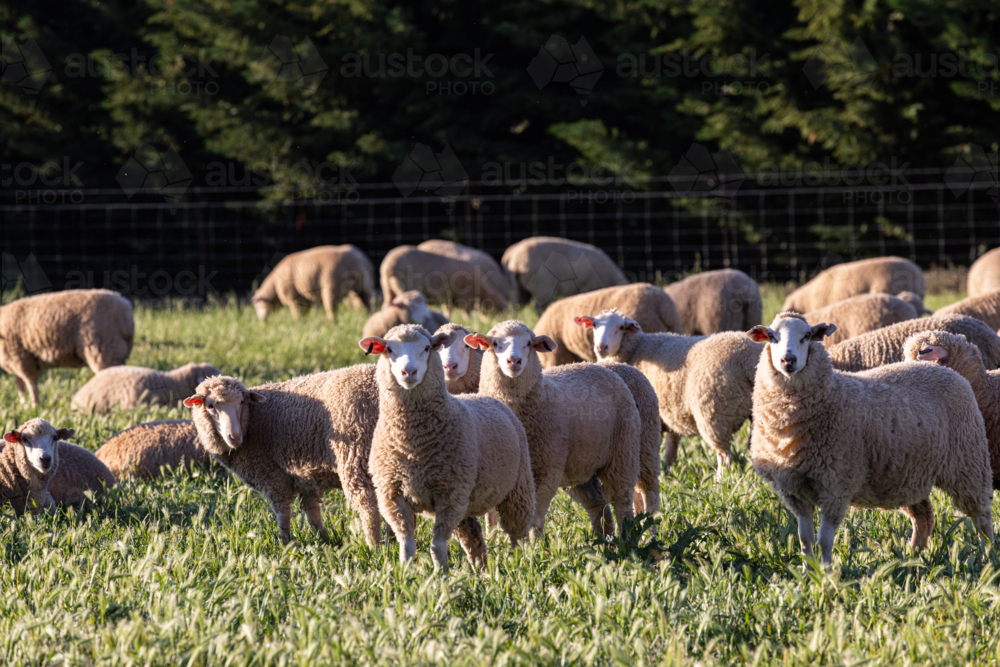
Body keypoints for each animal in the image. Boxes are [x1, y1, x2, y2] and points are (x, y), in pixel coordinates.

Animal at [0, 289, 134, 406]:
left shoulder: (23, 360)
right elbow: (19, 384)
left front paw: (35, 406)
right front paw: (25, 405)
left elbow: (31, 385)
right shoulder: (16, 364)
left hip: (104, 349)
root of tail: (126, 312)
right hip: (116, 351)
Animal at [185, 364, 384, 545]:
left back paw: (373, 547)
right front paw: (325, 541)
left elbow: (283, 514)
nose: (234, 436)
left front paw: (284, 543)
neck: (251, 422)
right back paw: (388, 543)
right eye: (210, 406)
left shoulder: (272, 476)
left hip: (356, 457)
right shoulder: (307, 476)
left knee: (369, 507)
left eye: (241, 402)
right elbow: (313, 514)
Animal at [359, 325, 535, 570]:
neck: (412, 445)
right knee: (474, 538)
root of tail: (484, 396)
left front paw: (441, 576)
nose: (408, 372)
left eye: (426, 348)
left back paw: (523, 564)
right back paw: (481, 571)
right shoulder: (393, 497)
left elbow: (437, 546)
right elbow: (407, 545)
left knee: (519, 533)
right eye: (390, 349)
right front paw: (405, 574)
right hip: (466, 500)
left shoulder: (450, 497)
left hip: (517, 487)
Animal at [467, 320, 641, 537]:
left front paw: (536, 544)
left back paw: (627, 538)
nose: (514, 361)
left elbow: (535, 518)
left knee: (622, 502)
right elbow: (494, 519)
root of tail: (599, 366)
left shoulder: (547, 470)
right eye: (496, 343)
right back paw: (605, 539)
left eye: (528, 344)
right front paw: (495, 539)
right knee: (597, 504)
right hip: (580, 467)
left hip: (622, 453)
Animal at [574, 308, 761, 477]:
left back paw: (721, 482)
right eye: (595, 325)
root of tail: (747, 357)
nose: (601, 347)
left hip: (714, 413)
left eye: (621, 327)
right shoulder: (671, 414)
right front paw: (670, 473)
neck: (636, 348)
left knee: (724, 455)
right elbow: (671, 448)